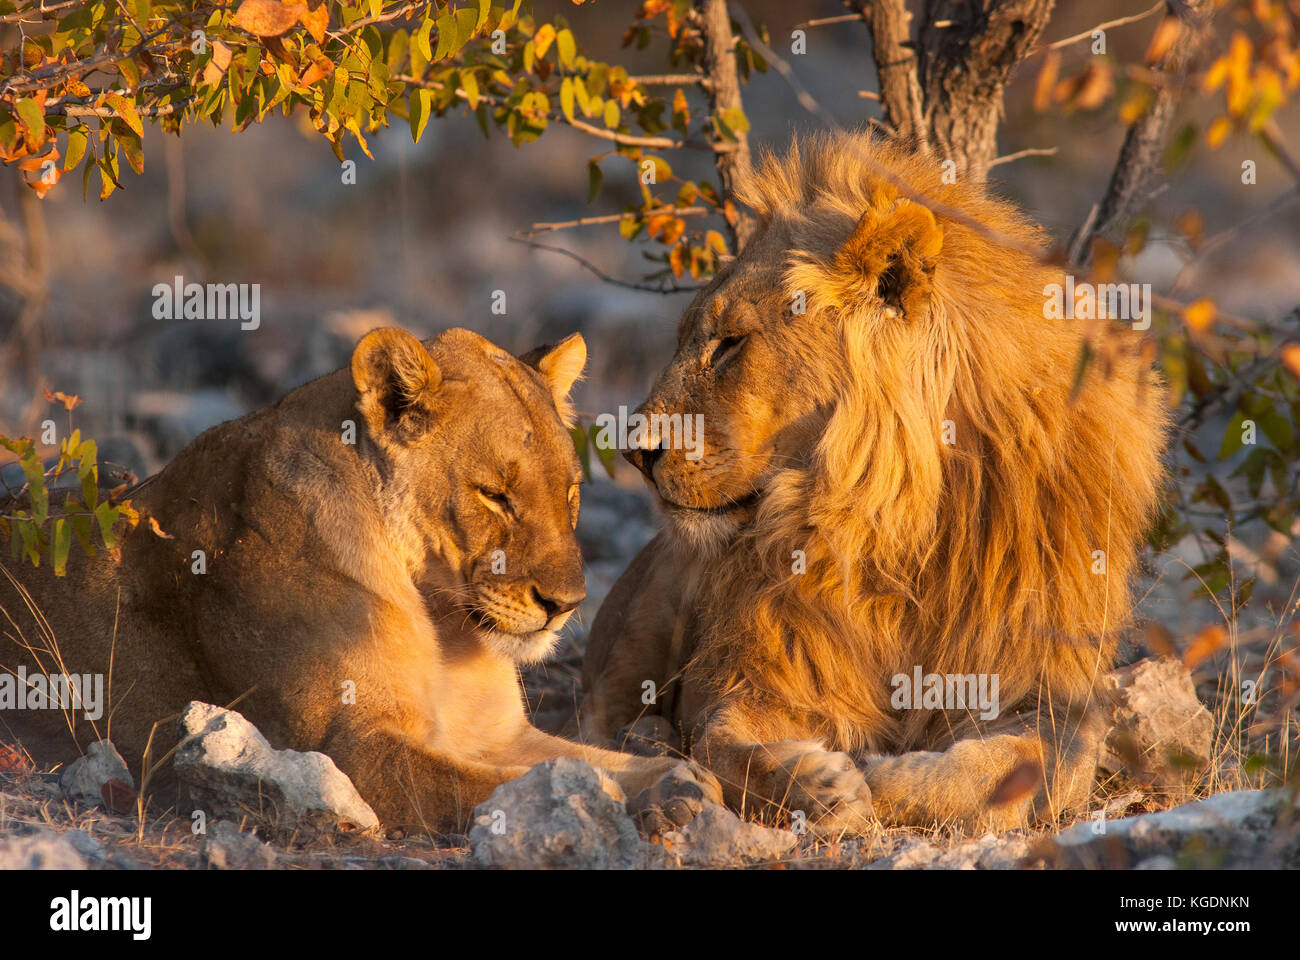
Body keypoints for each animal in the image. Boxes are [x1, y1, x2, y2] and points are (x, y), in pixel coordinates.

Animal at [0, 327, 718, 834]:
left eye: (570, 493)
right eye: (494, 496)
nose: (566, 605)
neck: (441, 616)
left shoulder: (499, 735)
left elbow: (588, 762)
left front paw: (686, 779)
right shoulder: (344, 752)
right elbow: (502, 786)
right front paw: (652, 798)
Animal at [581, 133, 1170, 835]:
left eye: (730, 343)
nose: (633, 451)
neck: (896, 527)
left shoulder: (1052, 689)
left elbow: (1007, 766)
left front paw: (884, 776)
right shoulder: (757, 674)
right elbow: (723, 742)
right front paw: (823, 785)